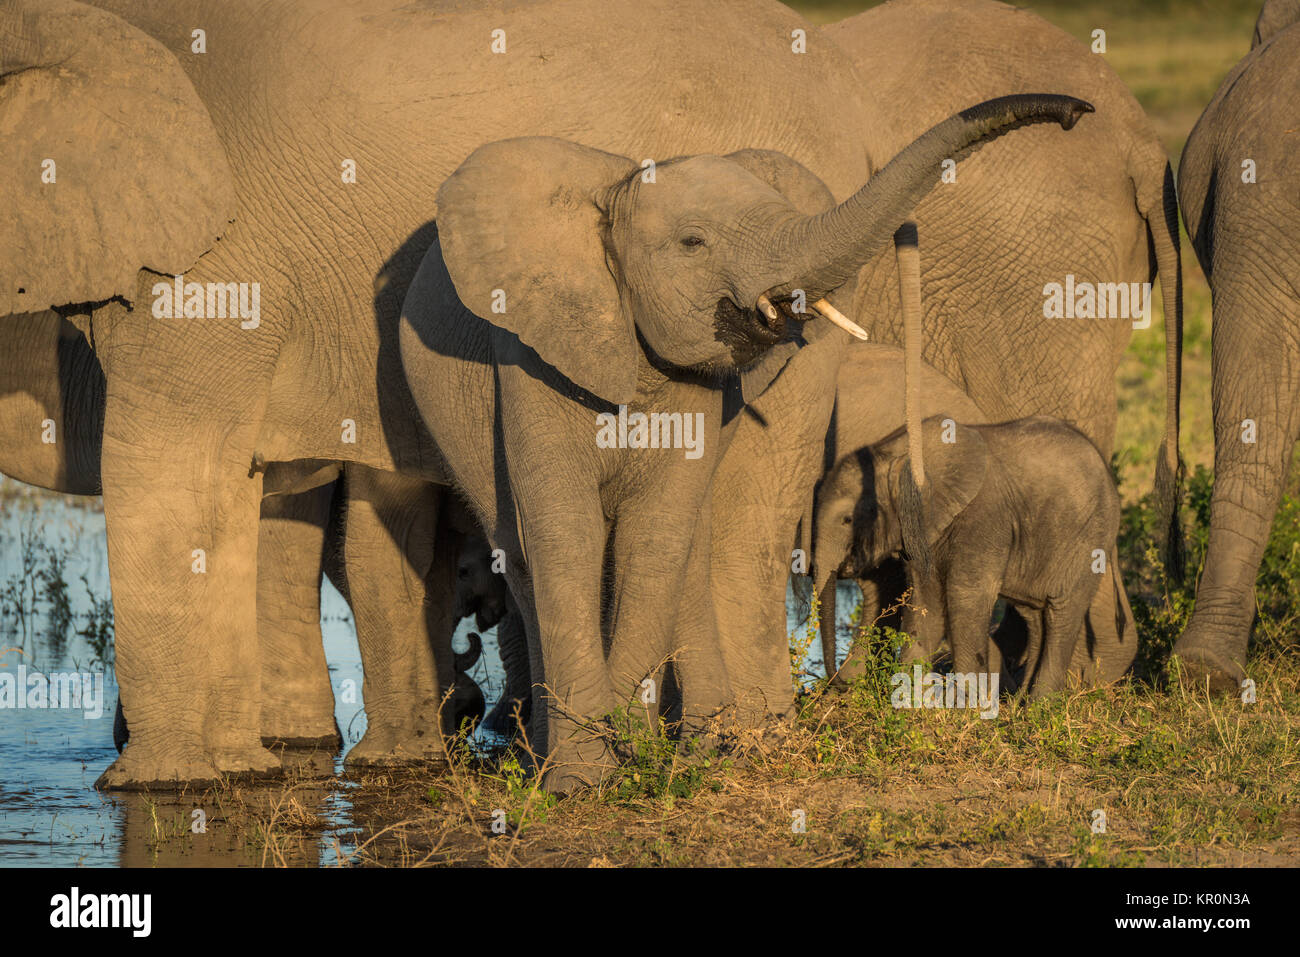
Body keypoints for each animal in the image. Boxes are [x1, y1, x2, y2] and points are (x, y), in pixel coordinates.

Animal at [815, 415, 1123, 697]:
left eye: (847, 519)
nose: (841, 683)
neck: (896, 452)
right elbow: (926, 600)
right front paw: (909, 699)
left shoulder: (985, 517)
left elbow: (966, 595)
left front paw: (966, 707)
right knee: (1035, 617)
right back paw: (1020, 705)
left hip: (1091, 536)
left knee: (1062, 613)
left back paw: (1040, 706)